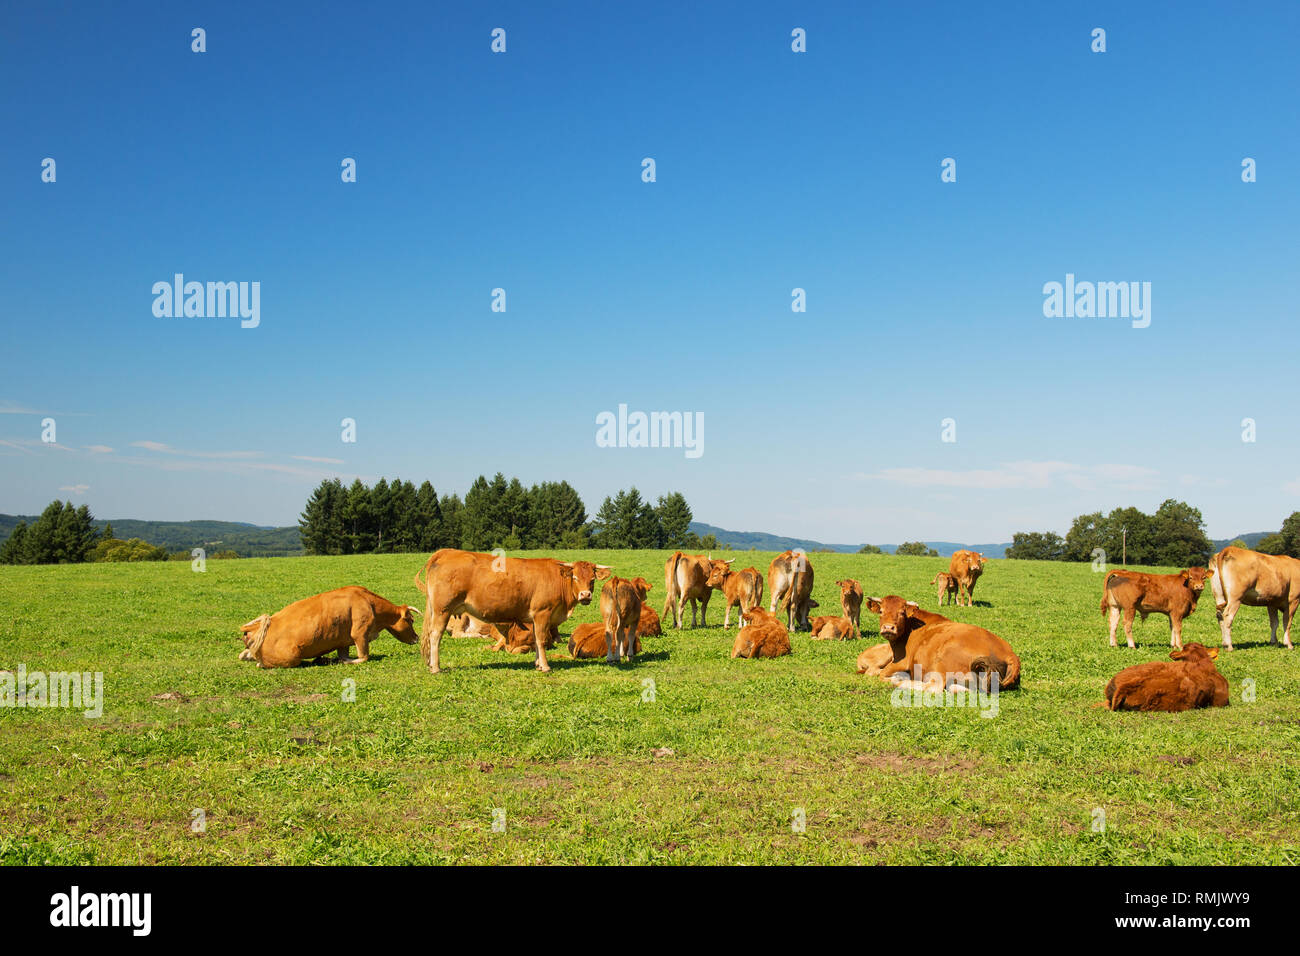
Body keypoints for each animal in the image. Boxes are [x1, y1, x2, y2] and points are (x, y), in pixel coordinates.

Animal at [238, 586, 419, 668]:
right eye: (410, 620)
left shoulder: (344, 641)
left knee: (244, 655)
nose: (417, 638)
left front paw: (337, 659)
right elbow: (363, 657)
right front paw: (345, 661)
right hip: (291, 657)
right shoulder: (360, 634)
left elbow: (344, 655)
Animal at [414, 549, 611, 673]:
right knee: (435, 635)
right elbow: (540, 639)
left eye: (592, 579)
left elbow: (537, 641)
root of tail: (446, 552)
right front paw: (545, 666)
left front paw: (538, 664)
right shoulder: (542, 613)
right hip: (443, 610)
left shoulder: (535, 617)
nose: (585, 595)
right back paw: (436, 667)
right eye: (575, 577)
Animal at [857, 595, 1020, 691]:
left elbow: (880, 673)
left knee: (934, 686)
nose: (888, 628)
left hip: (944, 659)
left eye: (902, 613)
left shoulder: (901, 661)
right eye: (881, 611)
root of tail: (1010, 653)